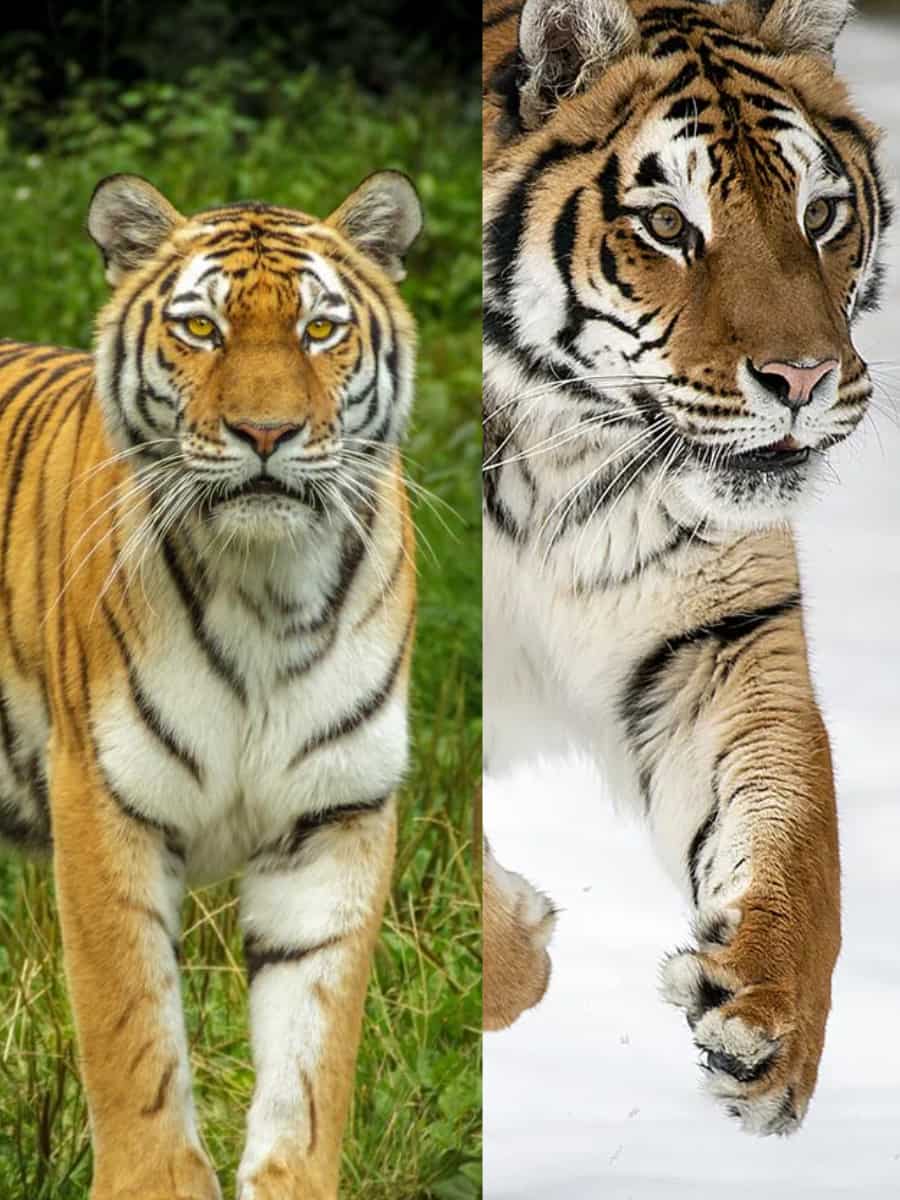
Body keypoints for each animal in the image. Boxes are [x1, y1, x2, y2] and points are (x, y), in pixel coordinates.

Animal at [0, 170, 421, 1199]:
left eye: (320, 329)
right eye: (201, 328)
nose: (265, 432)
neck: (268, 592)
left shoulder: (336, 816)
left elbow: (312, 1063)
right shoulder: (104, 800)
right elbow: (132, 1036)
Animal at [482, 0, 890, 1136]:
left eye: (821, 214)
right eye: (669, 226)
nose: (804, 379)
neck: (560, 453)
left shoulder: (713, 639)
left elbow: (796, 829)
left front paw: (768, 1026)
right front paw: (522, 944)